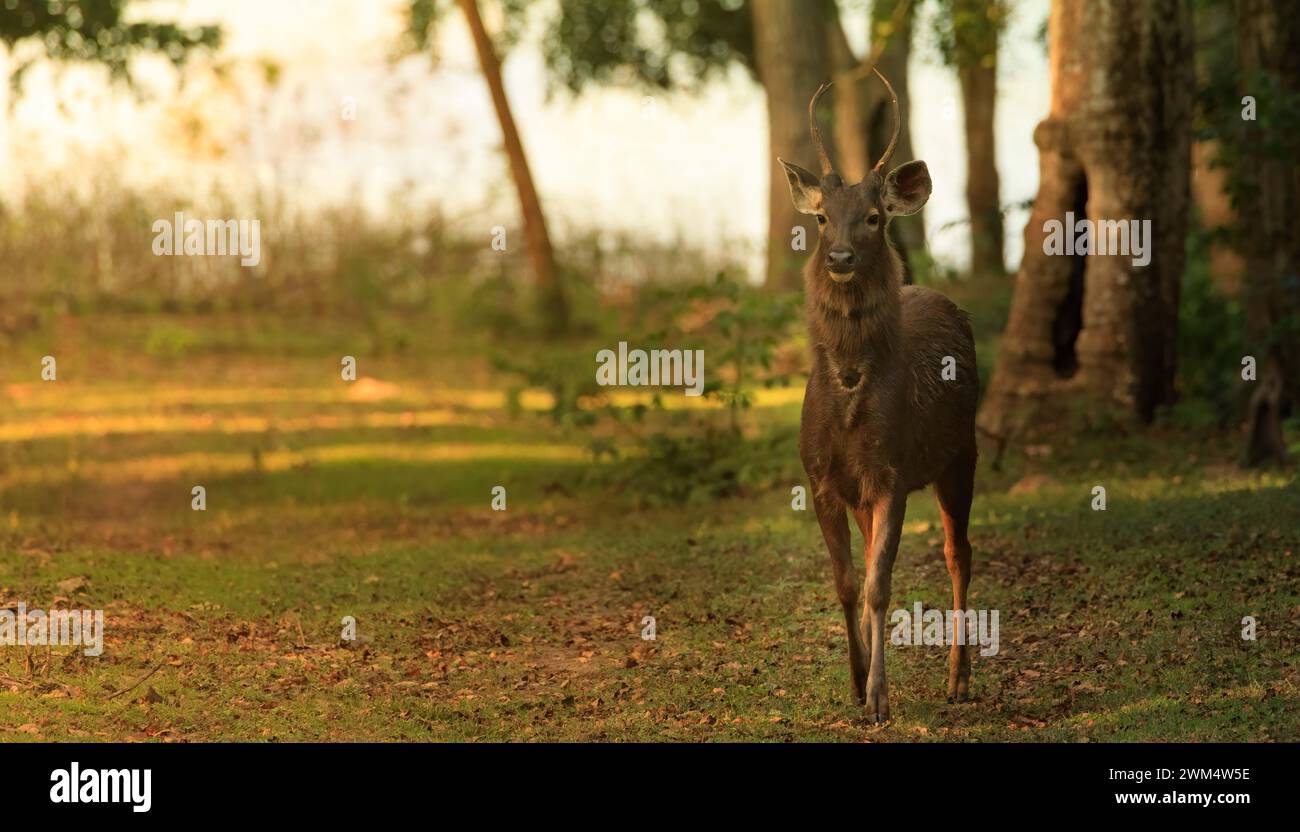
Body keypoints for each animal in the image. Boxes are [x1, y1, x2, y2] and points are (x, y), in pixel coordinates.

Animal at [778, 69, 979, 723]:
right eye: (821, 219)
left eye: (871, 217)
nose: (840, 256)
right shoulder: (821, 477)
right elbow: (848, 583)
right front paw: (855, 680)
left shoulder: (892, 473)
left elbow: (880, 584)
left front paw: (880, 698)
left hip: (961, 452)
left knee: (958, 551)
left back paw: (958, 679)